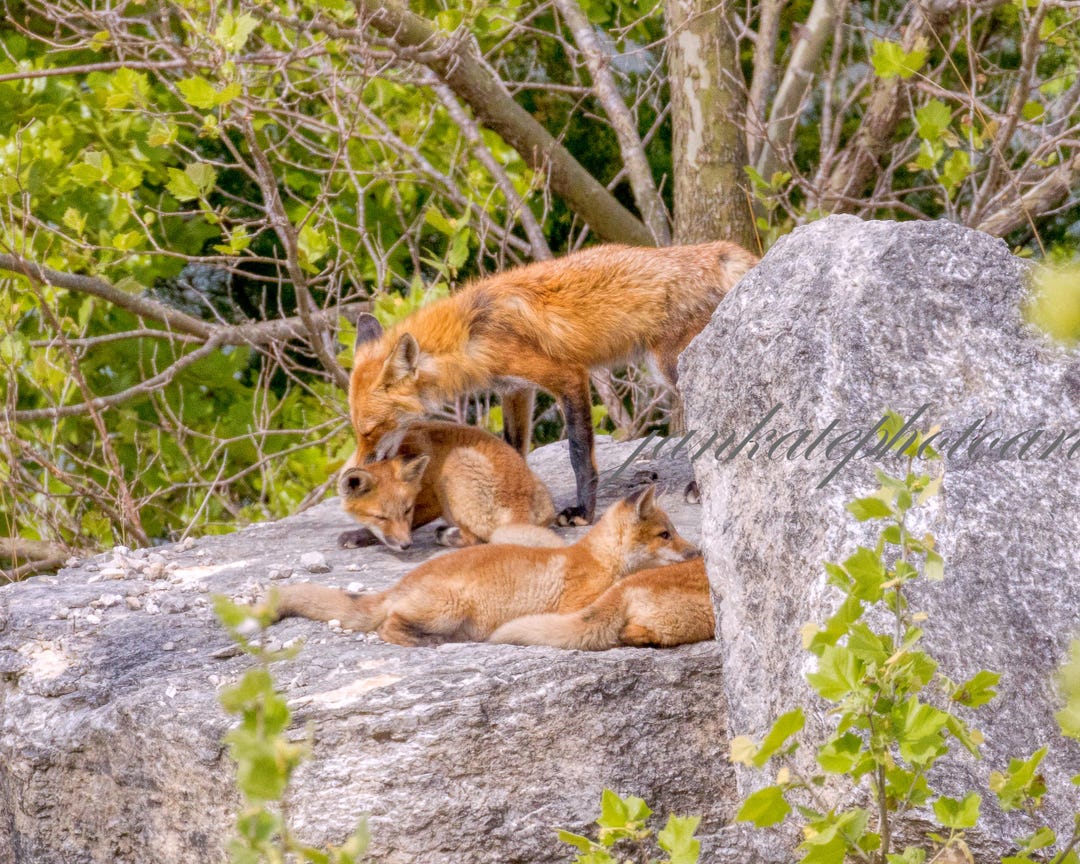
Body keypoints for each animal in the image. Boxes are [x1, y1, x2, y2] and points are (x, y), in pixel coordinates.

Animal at [336, 420, 555, 552]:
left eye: (407, 510)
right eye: (380, 517)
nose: (406, 546)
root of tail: (520, 501)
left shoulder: (432, 502)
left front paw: (358, 536)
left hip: (454, 465)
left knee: (477, 540)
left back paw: (446, 535)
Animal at [348, 240, 759, 525]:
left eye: (371, 430)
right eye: (358, 432)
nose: (356, 474)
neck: (473, 331)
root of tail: (719, 250)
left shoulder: (568, 377)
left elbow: (578, 455)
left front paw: (582, 512)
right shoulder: (515, 389)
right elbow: (513, 449)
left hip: (673, 368)